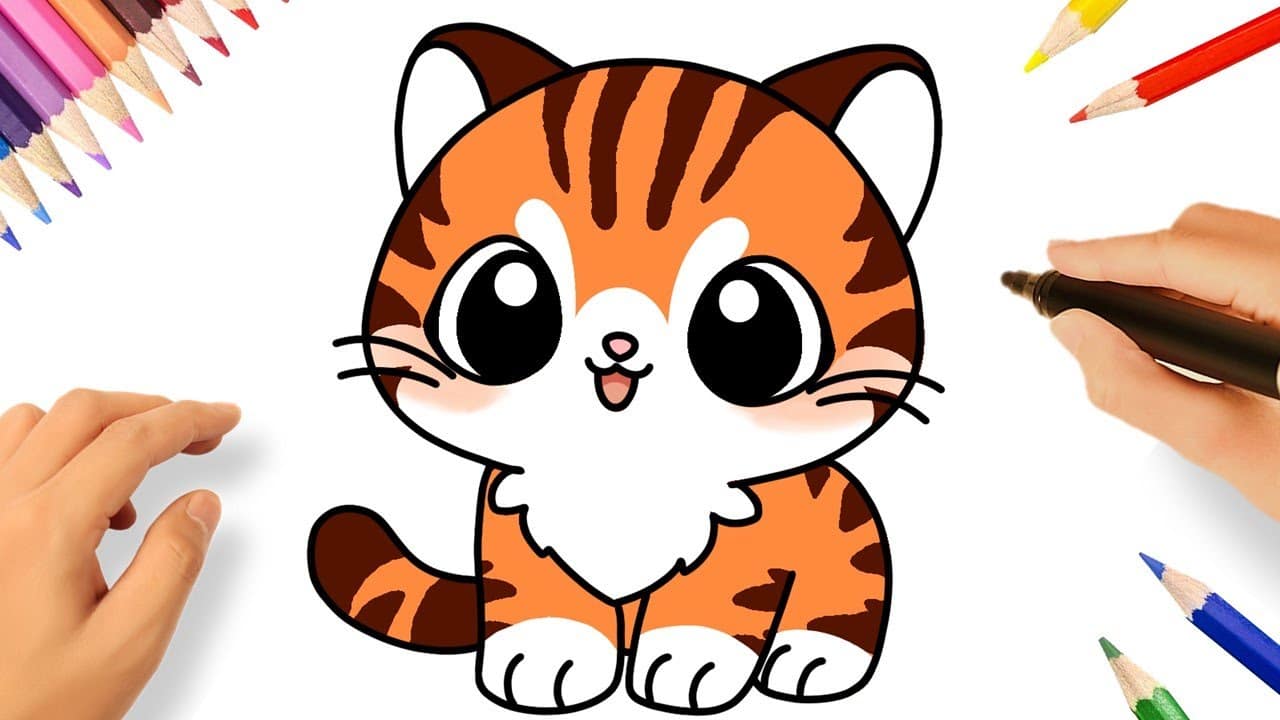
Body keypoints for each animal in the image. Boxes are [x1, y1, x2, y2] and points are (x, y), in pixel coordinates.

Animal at [310, 23, 943, 715]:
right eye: (507, 300)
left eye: (749, 323)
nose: (618, 346)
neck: (620, 470)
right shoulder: (512, 527)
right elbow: (536, 595)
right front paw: (545, 656)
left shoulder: (749, 542)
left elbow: (721, 599)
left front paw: (690, 662)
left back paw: (811, 655)